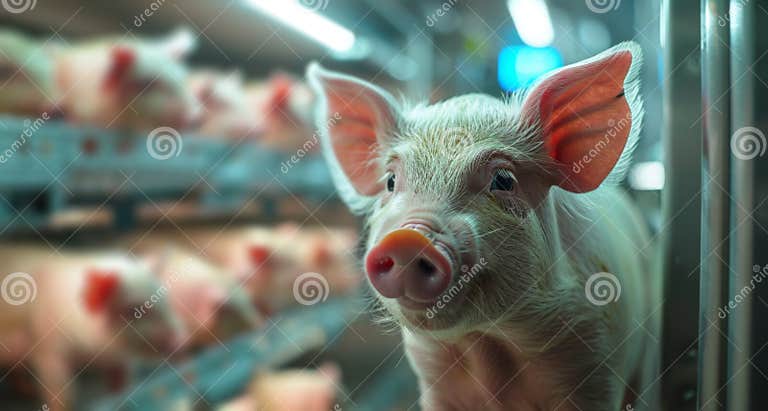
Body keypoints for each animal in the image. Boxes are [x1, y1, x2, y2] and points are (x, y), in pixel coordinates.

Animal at [0, 246, 187, 411]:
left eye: (166, 300)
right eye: (133, 310)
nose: (181, 340)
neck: (89, 354)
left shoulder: (117, 358)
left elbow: (121, 380)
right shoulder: (48, 349)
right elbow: (60, 390)